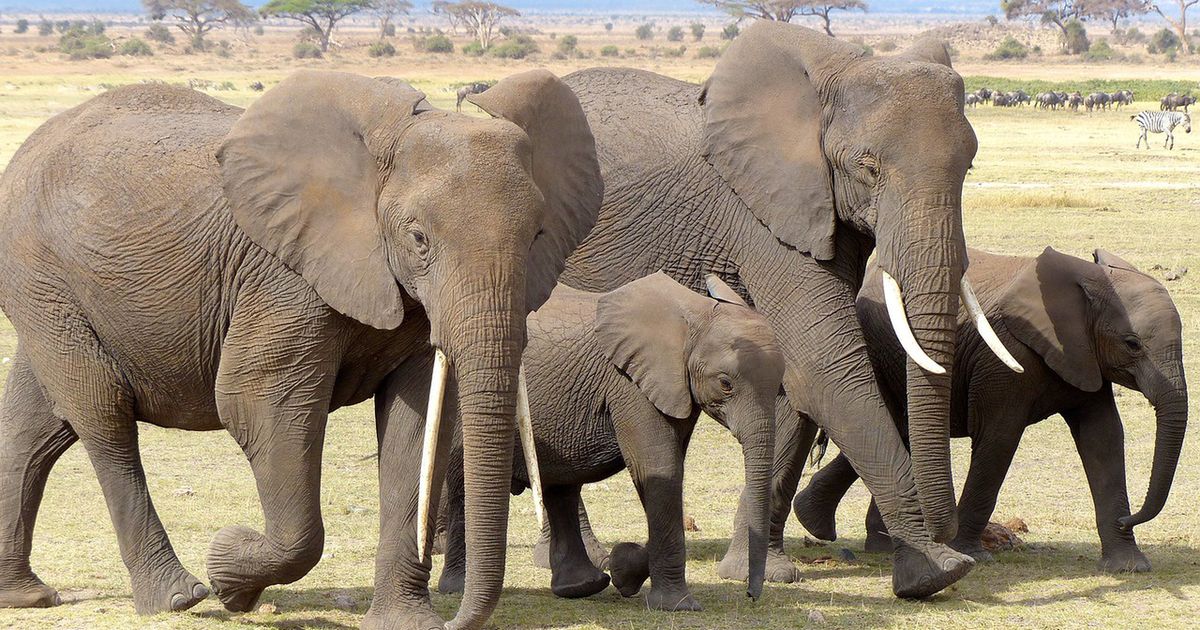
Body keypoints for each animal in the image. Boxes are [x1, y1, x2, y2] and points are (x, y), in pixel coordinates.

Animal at [0, 69, 603, 630]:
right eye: (418, 239)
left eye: (537, 236)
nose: (456, 617)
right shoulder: (282, 277)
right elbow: (260, 403)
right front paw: (229, 574)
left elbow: (414, 425)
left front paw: (405, 622)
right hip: (43, 276)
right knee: (102, 417)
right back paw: (178, 596)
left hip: (45, 292)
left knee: (37, 427)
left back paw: (26, 595)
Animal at [438, 272, 783, 610]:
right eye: (725, 384)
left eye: (780, 383)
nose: (750, 596)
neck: (693, 313)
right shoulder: (630, 384)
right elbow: (659, 468)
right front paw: (678, 606)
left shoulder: (674, 387)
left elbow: (667, 472)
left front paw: (623, 570)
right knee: (465, 485)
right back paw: (456, 588)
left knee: (560, 488)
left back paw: (582, 586)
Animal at [555, 22, 1025, 598]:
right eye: (868, 167)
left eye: (969, 165)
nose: (948, 536)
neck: (838, 71)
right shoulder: (761, 215)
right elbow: (823, 364)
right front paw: (935, 573)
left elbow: (791, 378)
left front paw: (759, 572)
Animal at [793, 247, 1188, 573]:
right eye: (1132, 344)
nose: (1128, 518)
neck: (1087, 281)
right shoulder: (1003, 360)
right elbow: (999, 439)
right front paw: (974, 555)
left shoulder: (1085, 358)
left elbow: (1103, 439)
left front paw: (1129, 567)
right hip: (878, 351)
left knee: (897, 432)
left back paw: (863, 538)